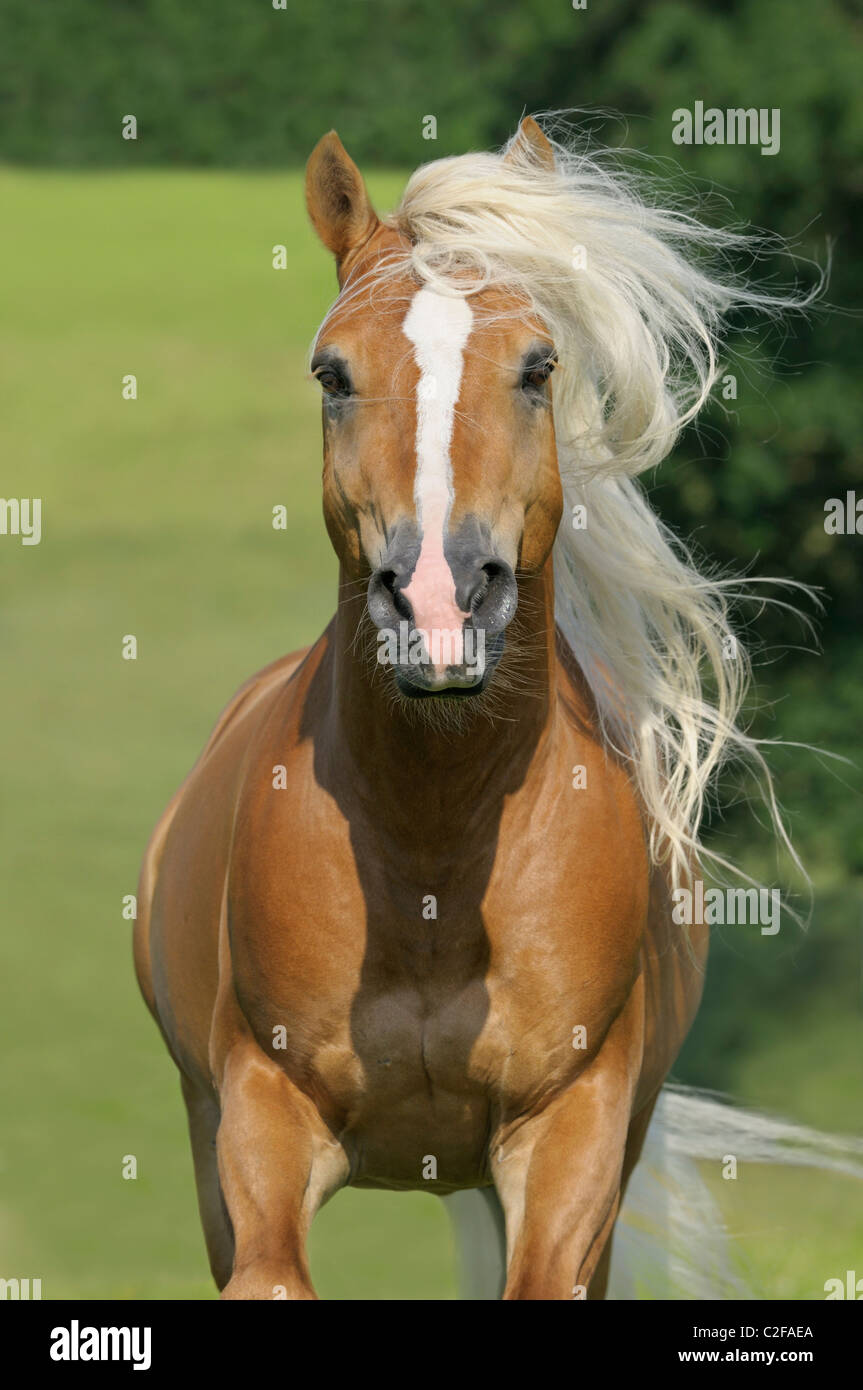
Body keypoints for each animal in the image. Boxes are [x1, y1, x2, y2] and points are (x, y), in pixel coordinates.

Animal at [133, 116, 847, 1300]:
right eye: (331, 372)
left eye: (538, 367)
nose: (437, 600)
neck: (433, 859)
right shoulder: (257, 1132)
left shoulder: (571, 1138)